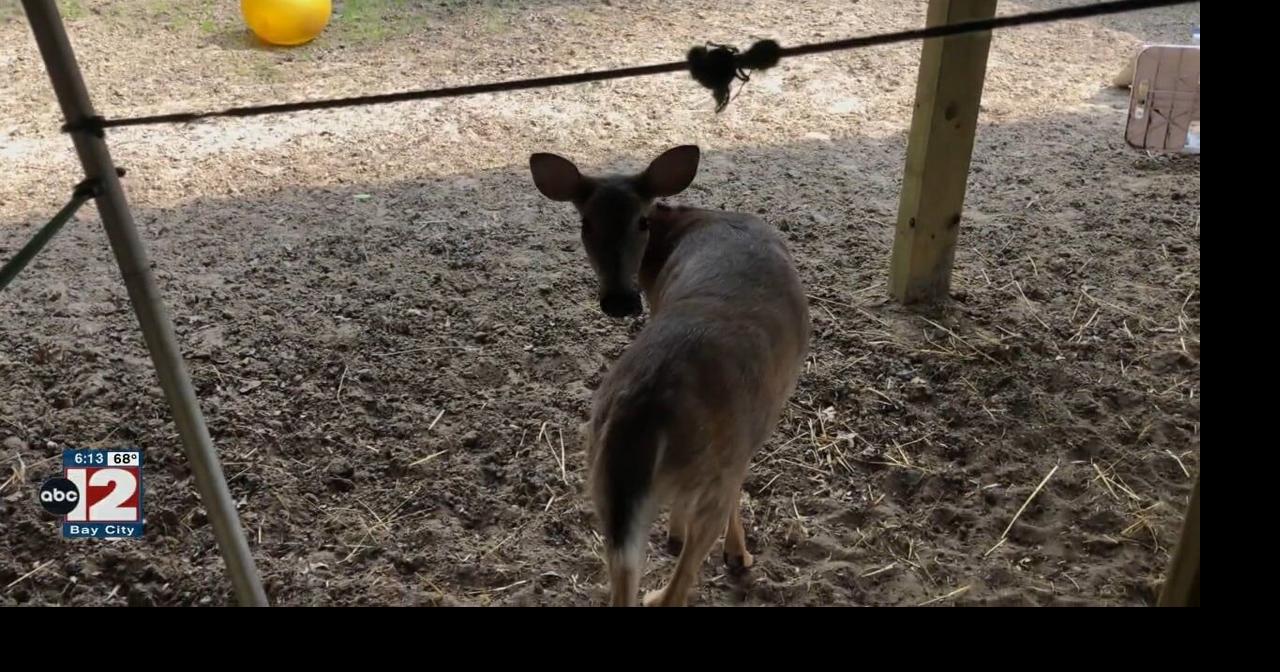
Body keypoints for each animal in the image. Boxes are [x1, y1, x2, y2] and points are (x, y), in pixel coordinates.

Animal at [529, 145, 810, 607]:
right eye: (586, 223)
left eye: (640, 221)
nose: (619, 301)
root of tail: (645, 411)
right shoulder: (745, 446)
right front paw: (737, 554)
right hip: (714, 465)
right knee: (679, 582)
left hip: (603, 481)